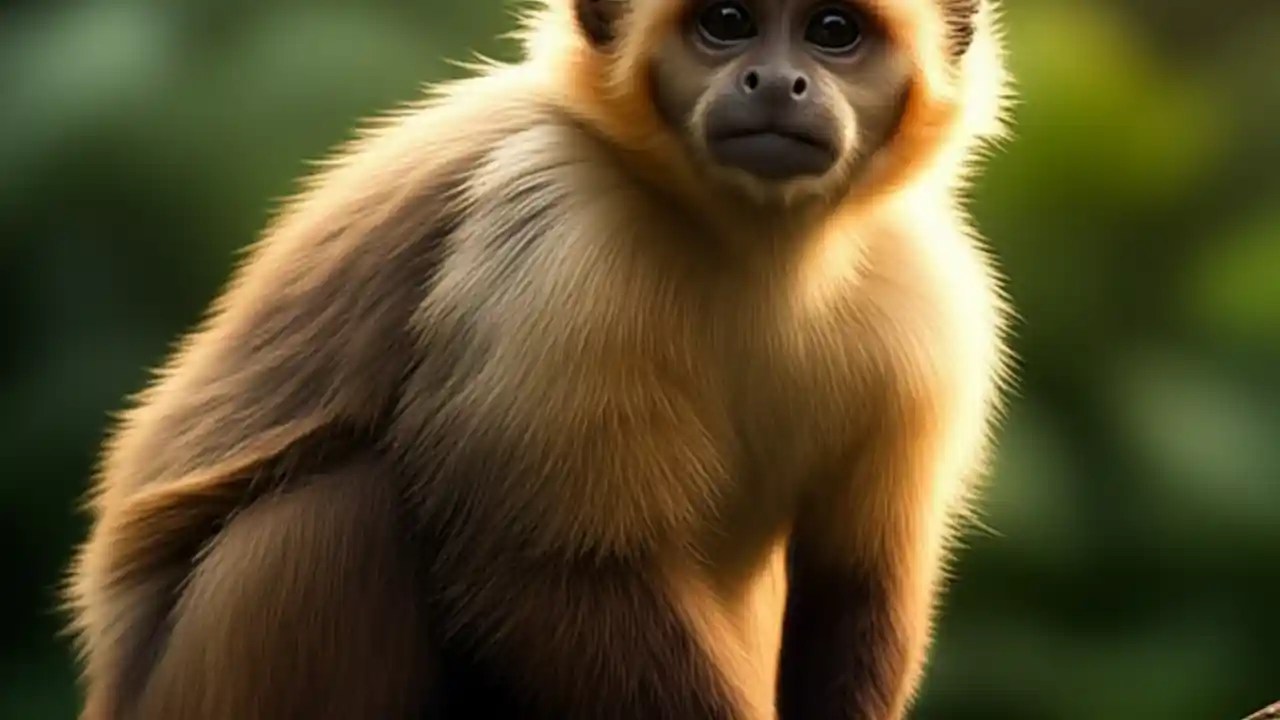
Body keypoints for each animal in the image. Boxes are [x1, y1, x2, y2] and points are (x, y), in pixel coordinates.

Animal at [64, 0, 1012, 718]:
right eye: (727, 22)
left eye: (832, 31)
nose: (776, 81)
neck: (755, 249)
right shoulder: (559, 234)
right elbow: (538, 568)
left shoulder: (927, 296)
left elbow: (856, 577)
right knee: (356, 511)